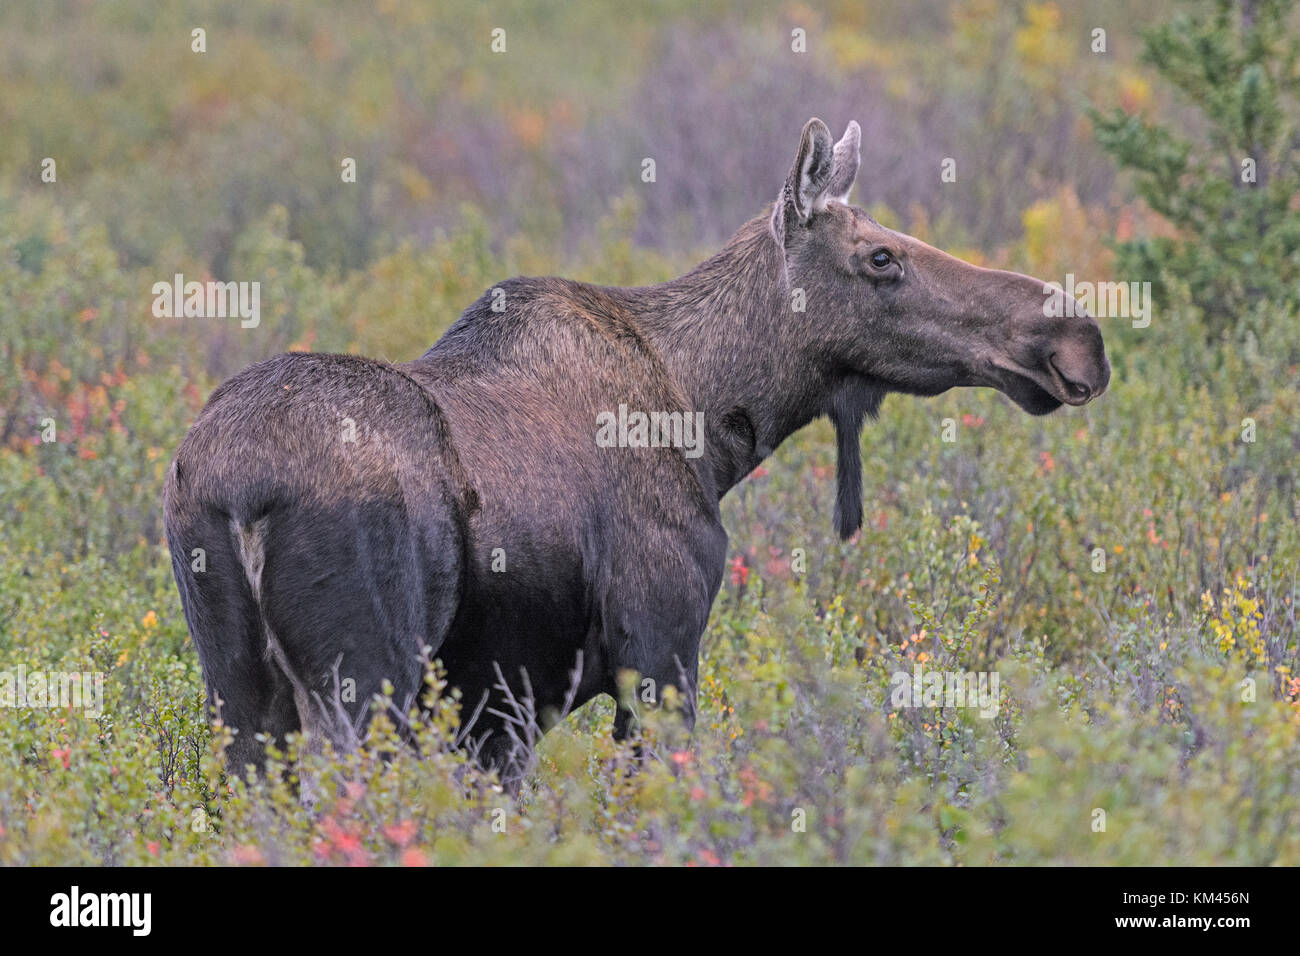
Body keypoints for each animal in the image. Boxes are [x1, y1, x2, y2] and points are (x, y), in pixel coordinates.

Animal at [164, 117, 1109, 789]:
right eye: (880, 256)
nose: (1074, 338)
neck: (716, 425)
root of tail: (238, 490)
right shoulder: (659, 644)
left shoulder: (499, 714)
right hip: (369, 682)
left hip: (239, 693)